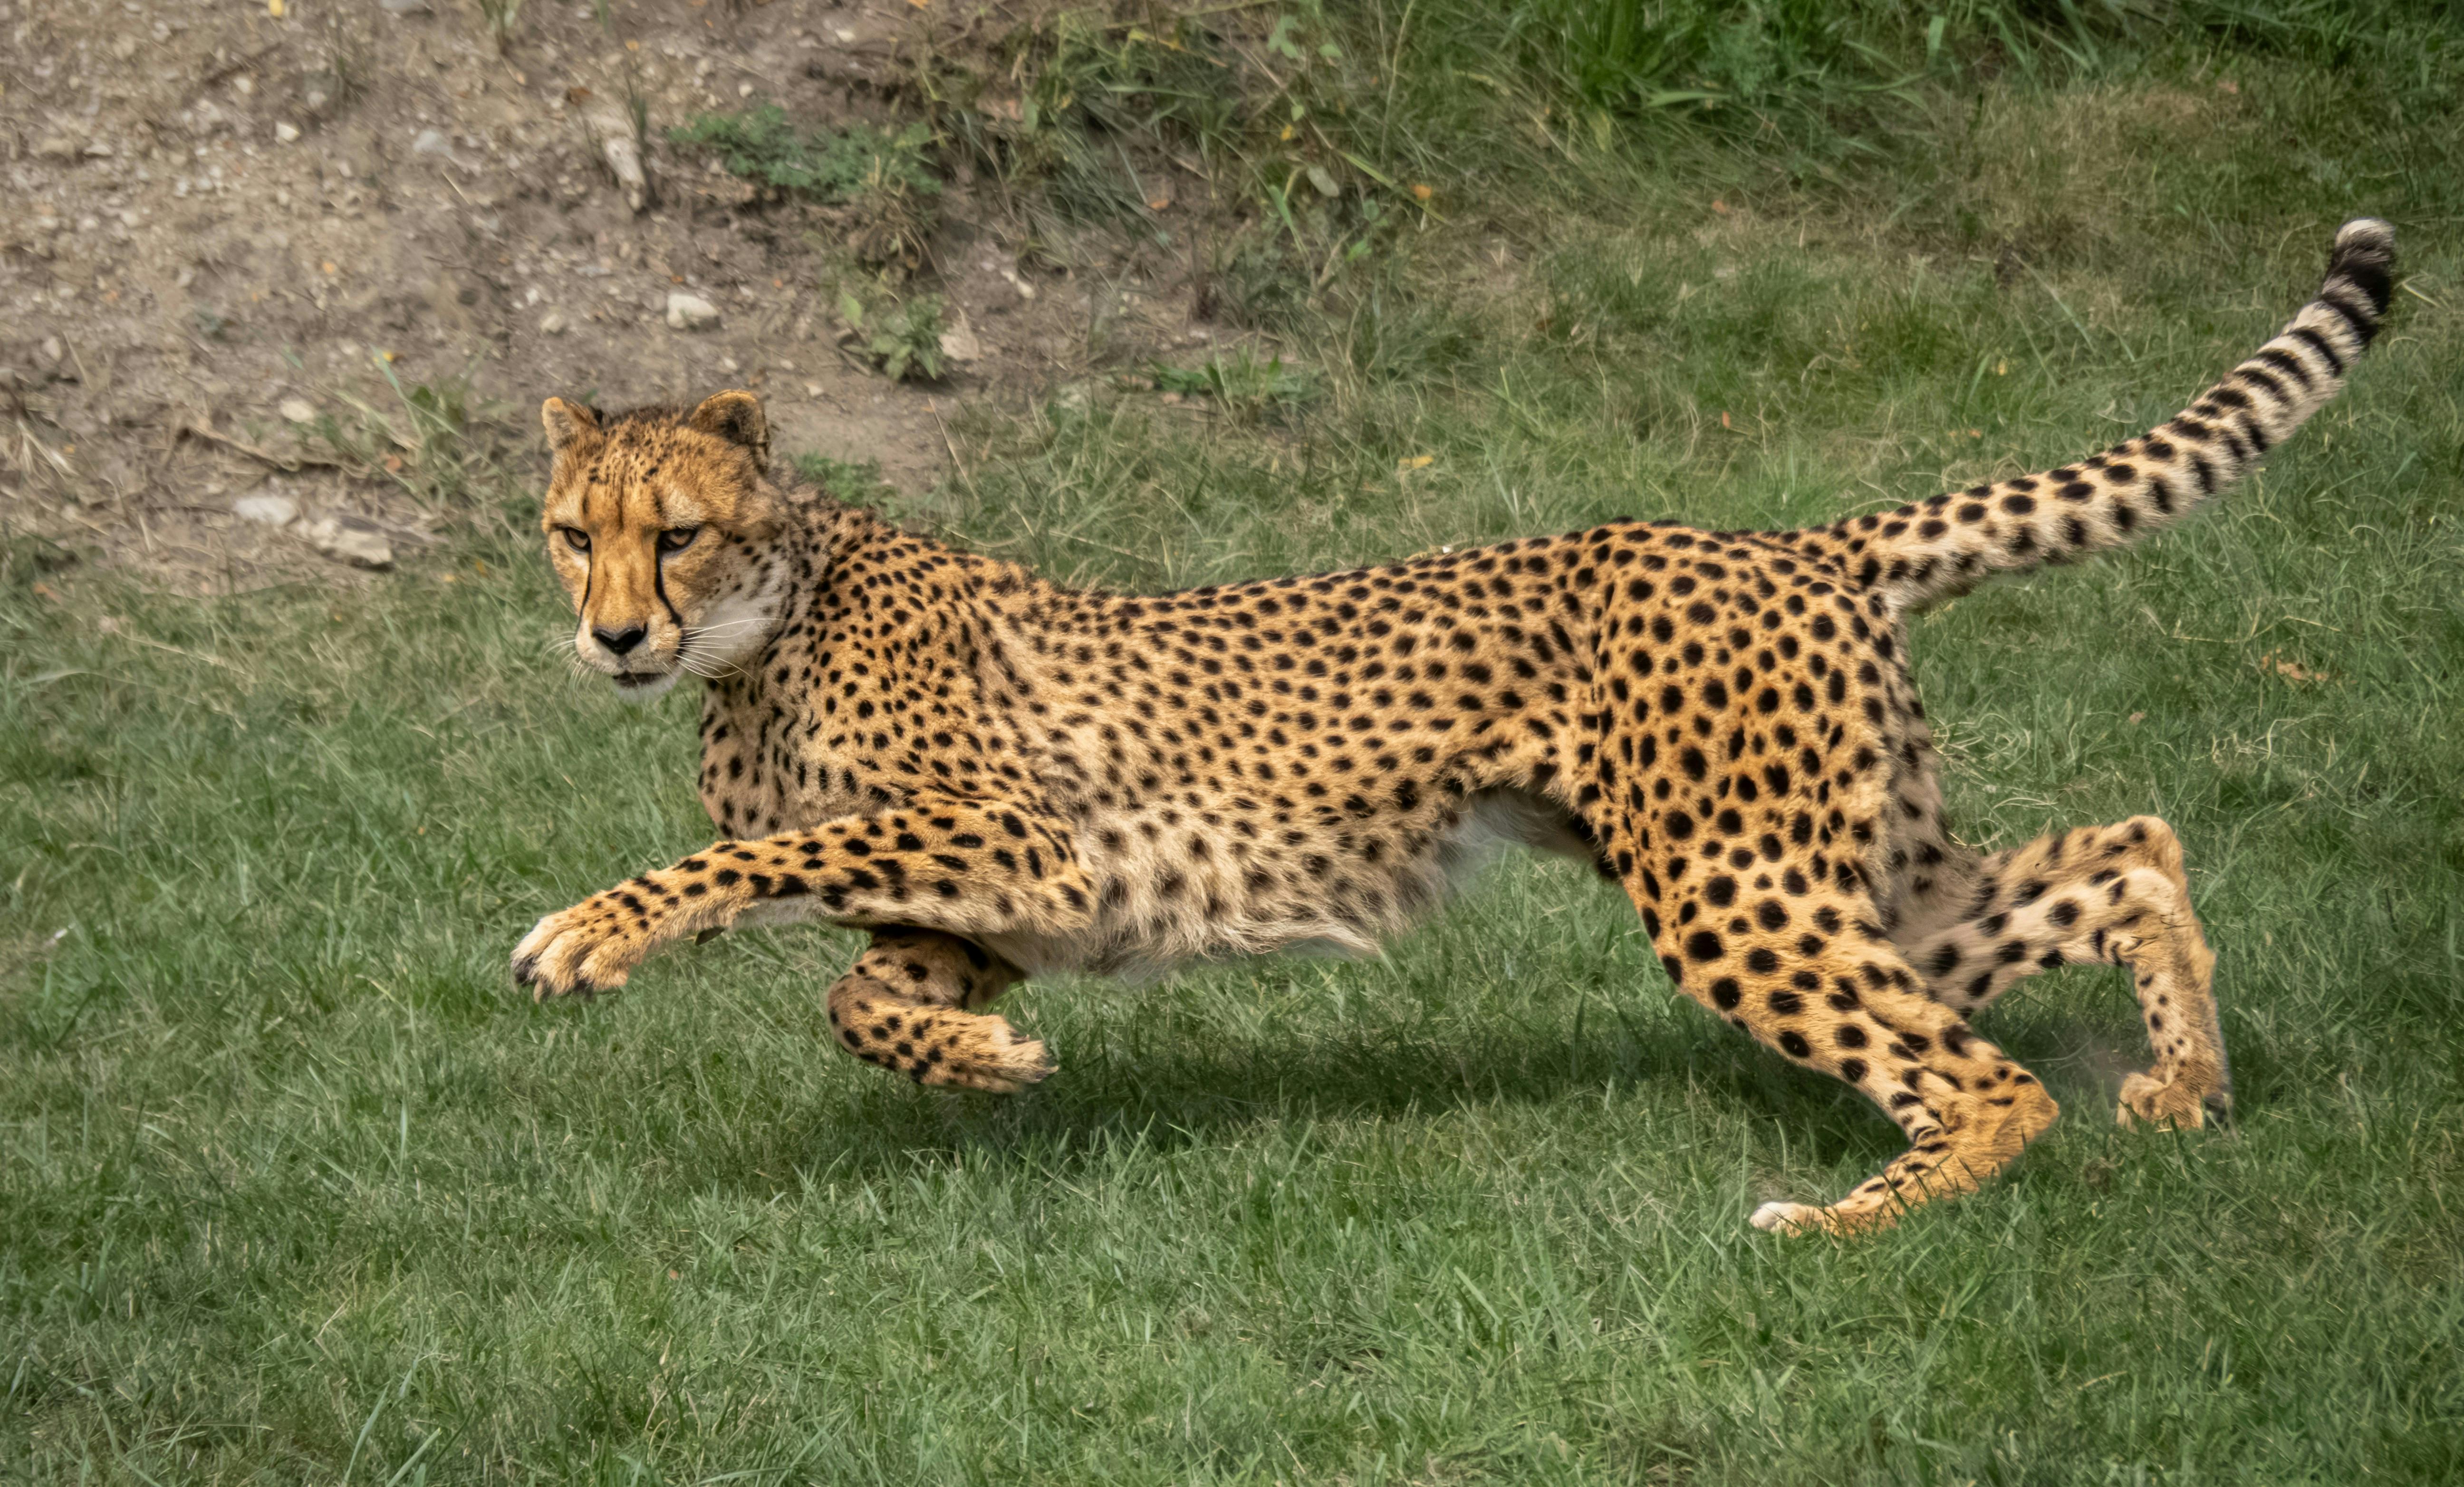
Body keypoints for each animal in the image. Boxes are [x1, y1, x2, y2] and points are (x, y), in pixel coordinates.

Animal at [514, 220, 2394, 1234]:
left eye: (671, 531)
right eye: (566, 531)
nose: (611, 636)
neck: (763, 628)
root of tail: (1781, 538)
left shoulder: (1022, 843)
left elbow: (742, 872)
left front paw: (586, 936)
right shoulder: (1001, 903)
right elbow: (860, 992)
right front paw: (986, 1061)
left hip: (1736, 890)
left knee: (1987, 1072)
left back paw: (1856, 1219)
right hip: (1856, 867)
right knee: (2126, 852)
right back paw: (2183, 1081)